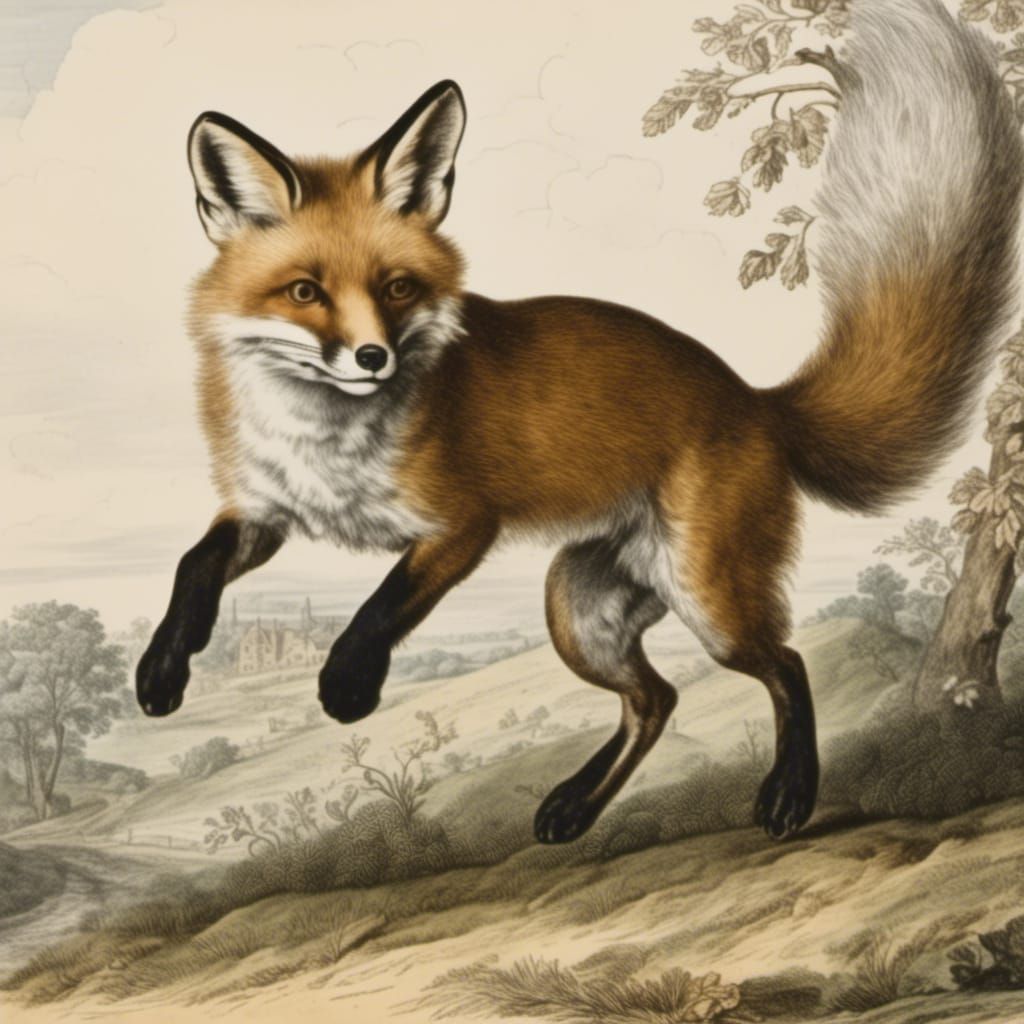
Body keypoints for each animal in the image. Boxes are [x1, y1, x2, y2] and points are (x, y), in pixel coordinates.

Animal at [137, 0, 1023, 844]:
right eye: (305, 292)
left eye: (396, 289)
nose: (371, 358)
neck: (324, 439)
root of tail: (752, 396)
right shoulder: (265, 510)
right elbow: (191, 566)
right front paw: (160, 672)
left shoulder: (460, 525)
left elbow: (378, 607)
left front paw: (347, 682)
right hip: (579, 609)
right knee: (656, 699)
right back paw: (574, 809)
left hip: (707, 599)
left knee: (789, 663)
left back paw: (789, 796)